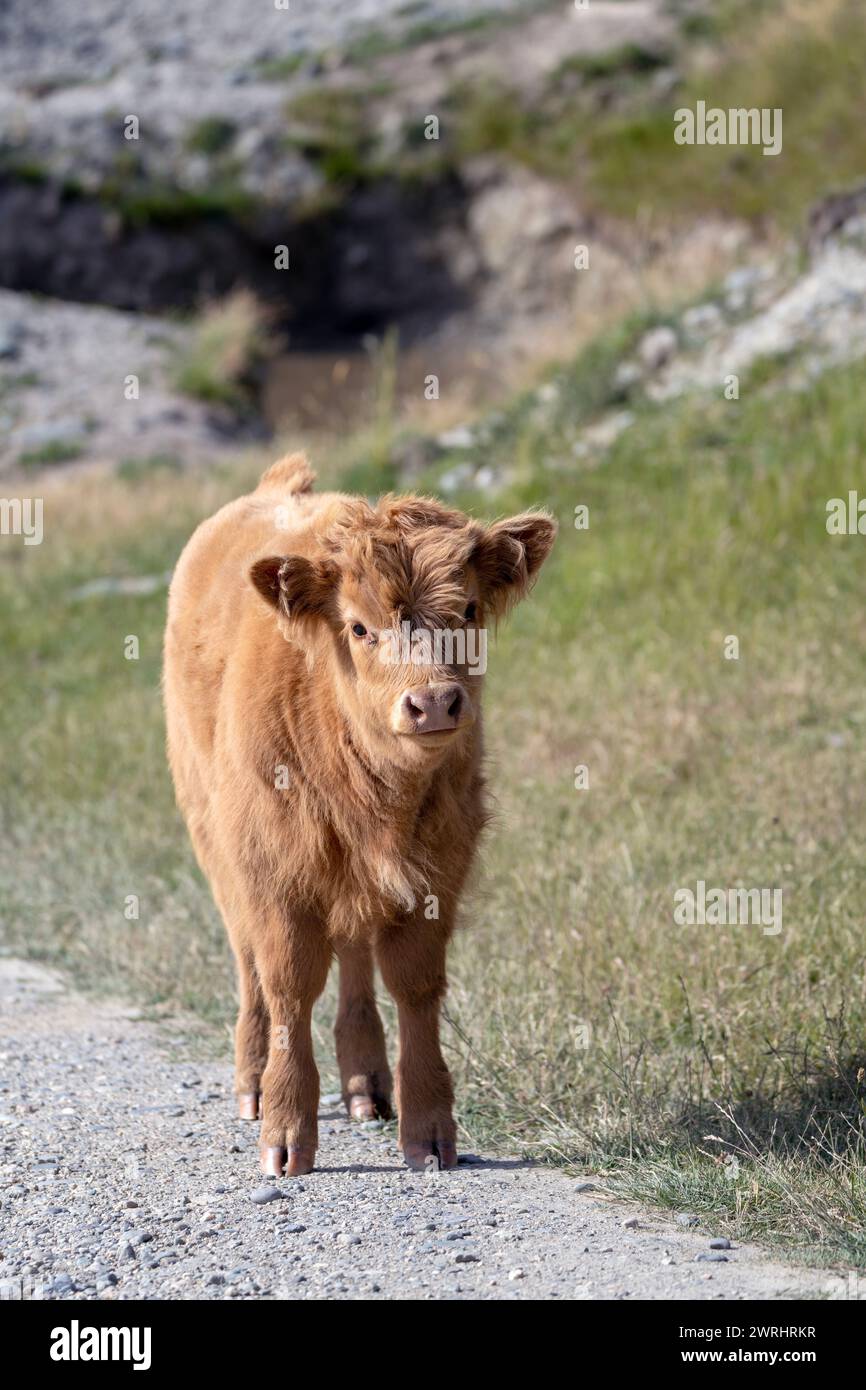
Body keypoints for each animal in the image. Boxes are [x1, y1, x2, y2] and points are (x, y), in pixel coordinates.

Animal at [163, 452, 556, 1176]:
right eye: (358, 627)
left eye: (468, 608)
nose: (434, 703)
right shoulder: (276, 870)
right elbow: (289, 984)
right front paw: (285, 1133)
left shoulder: (437, 868)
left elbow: (415, 986)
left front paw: (428, 1130)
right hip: (217, 841)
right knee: (248, 960)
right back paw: (252, 1082)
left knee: (351, 954)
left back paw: (364, 1085)